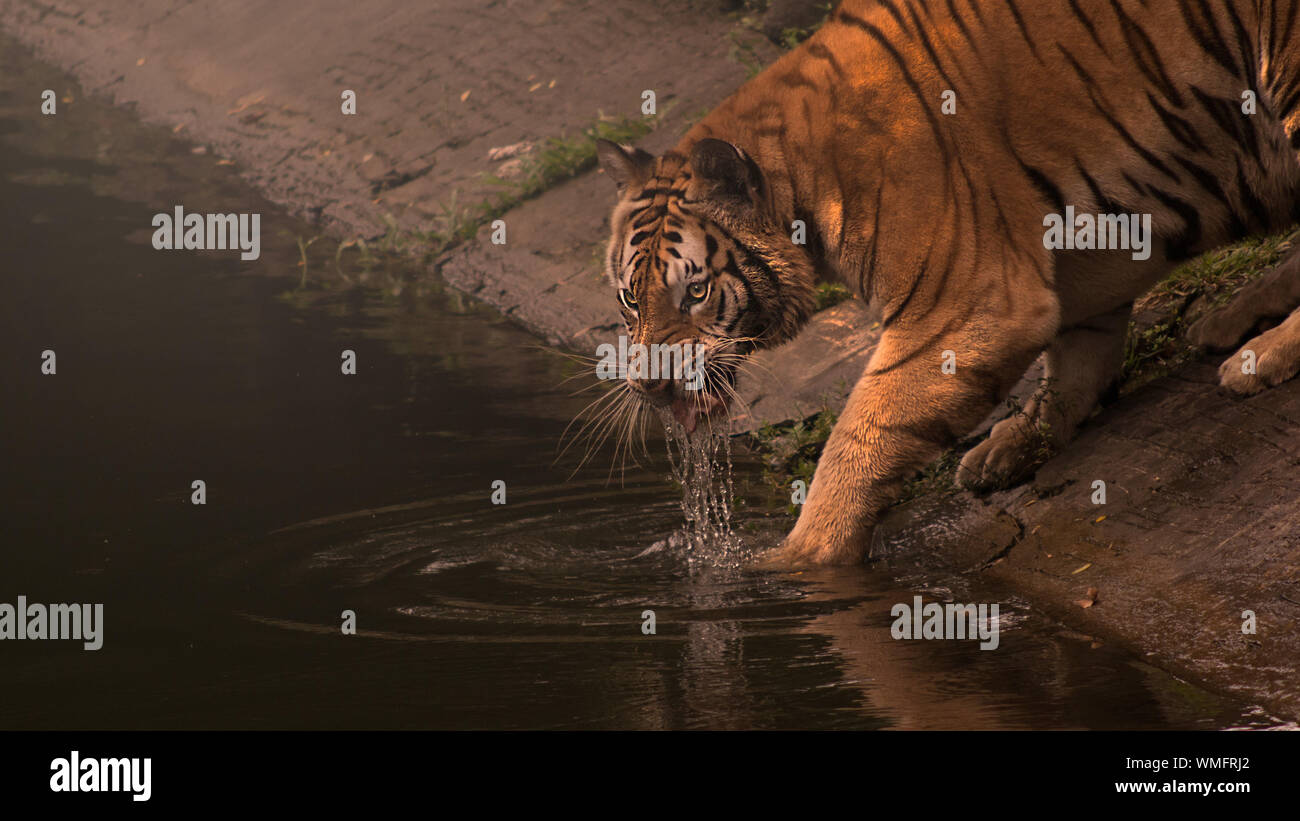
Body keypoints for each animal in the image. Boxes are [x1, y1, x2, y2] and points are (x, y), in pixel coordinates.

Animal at [595, 0, 1300, 565]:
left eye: (695, 292)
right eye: (630, 297)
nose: (650, 387)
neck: (800, 180)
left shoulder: (966, 307)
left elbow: (859, 434)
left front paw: (795, 560)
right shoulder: (1088, 240)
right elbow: (1077, 353)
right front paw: (1018, 442)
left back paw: (1260, 356)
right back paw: (1230, 319)